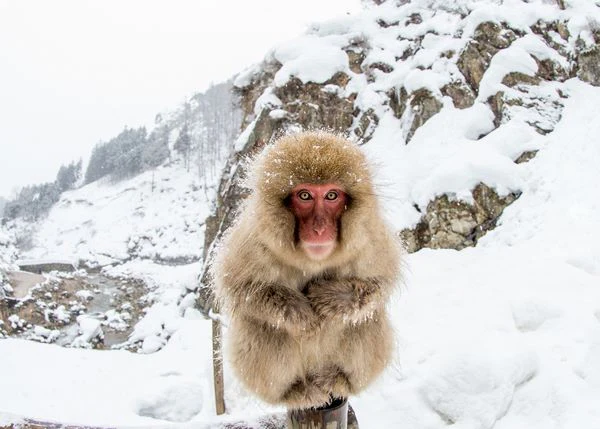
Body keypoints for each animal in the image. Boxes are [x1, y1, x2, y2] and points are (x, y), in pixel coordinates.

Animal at [213, 130, 400, 408]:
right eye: (305, 196)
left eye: (331, 196)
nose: (320, 228)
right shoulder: (254, 239)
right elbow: (240, 288)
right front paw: (297, 311)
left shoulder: (369, 236)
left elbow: (380, 283)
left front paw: (336, 298)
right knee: (262, 326)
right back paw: (294, 391)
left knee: (365, 320)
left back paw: (339, 380)